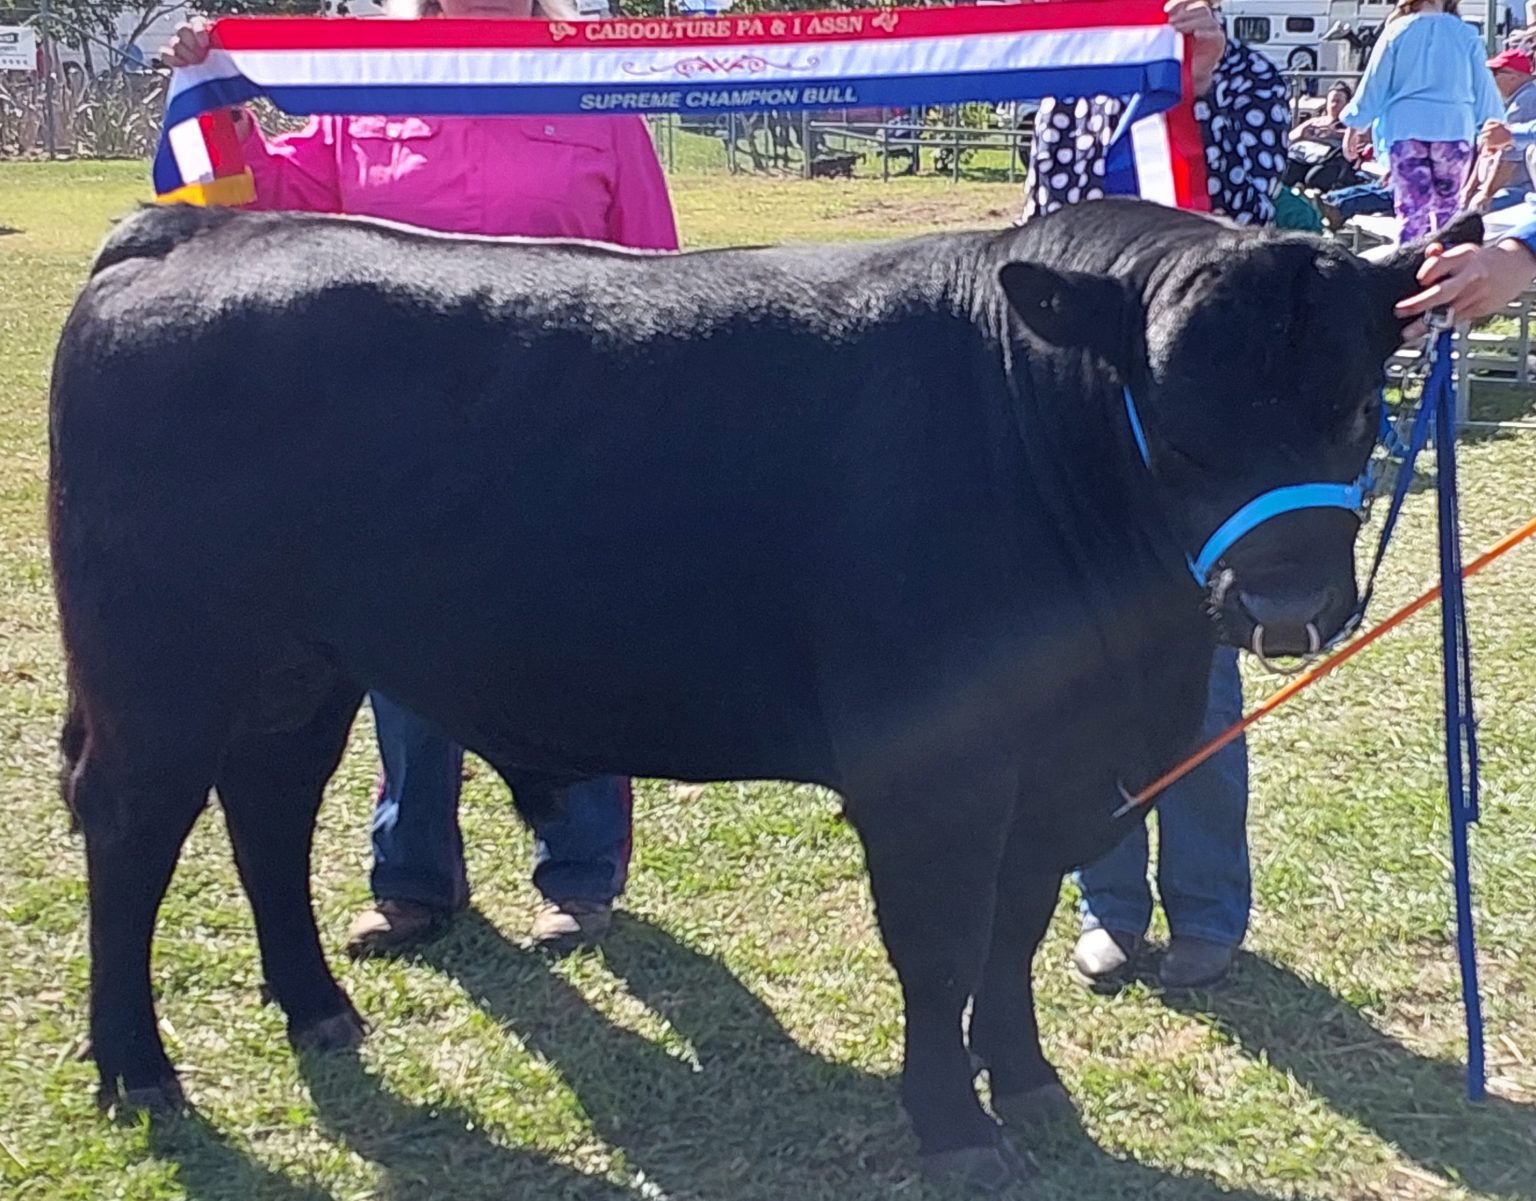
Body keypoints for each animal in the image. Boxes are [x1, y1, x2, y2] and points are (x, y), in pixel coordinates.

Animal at [49, 198, 1478, 1190]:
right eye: (1172, 423)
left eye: (1362, 405)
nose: (1286, 605)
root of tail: (187, 229)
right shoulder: (934, 769)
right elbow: (940, 947)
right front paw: (952, 1124)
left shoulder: (1061, 766)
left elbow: (1012, 934)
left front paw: (1024, 1082)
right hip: (159, 664)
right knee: (133, 829)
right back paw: (141, 1072)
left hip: (301, 669)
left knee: (268, 811)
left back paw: (319, 1011)